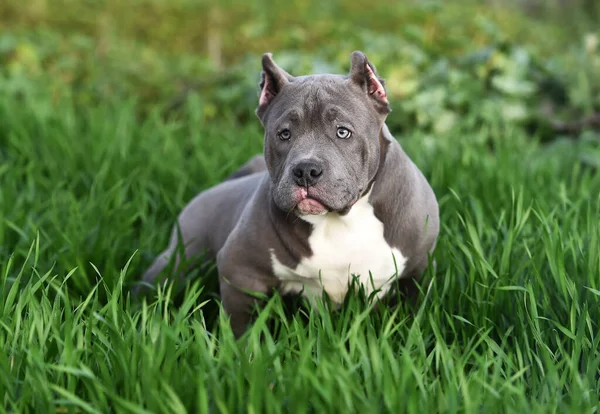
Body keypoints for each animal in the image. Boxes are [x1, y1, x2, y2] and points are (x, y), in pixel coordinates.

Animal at [134, 51, 438, 336]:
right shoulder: (239, 269)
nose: (306, 170)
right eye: (284, 134)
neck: (339, 220)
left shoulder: (413, 275)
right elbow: (242, 329)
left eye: (343, 132)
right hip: (178, 260)